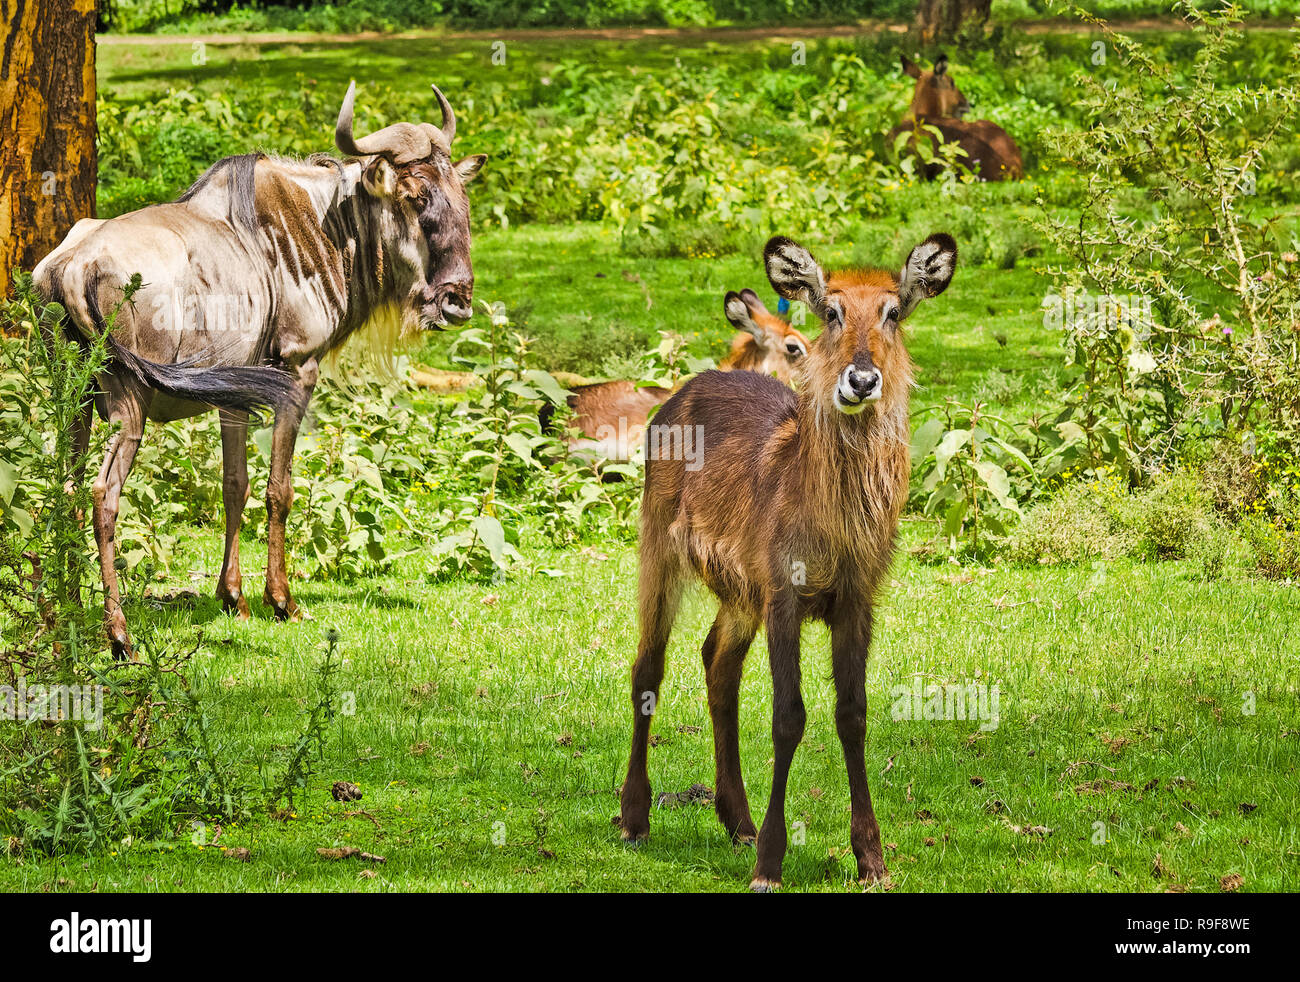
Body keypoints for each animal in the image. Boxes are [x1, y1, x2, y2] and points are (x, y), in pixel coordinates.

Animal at [619, 232, 958, 891]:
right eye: (831, 311)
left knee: (716, 662)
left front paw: (871, 857)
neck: (835, 526)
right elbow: (788, 716)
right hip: (660, 551)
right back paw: (635, 816)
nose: (861, 379)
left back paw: (738, 820)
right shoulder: (783, 593)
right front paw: (770, 865)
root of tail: (682, 391)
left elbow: (852, 714)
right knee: (648, 669)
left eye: (893, 312)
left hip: (737, 590)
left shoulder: (856, 600)